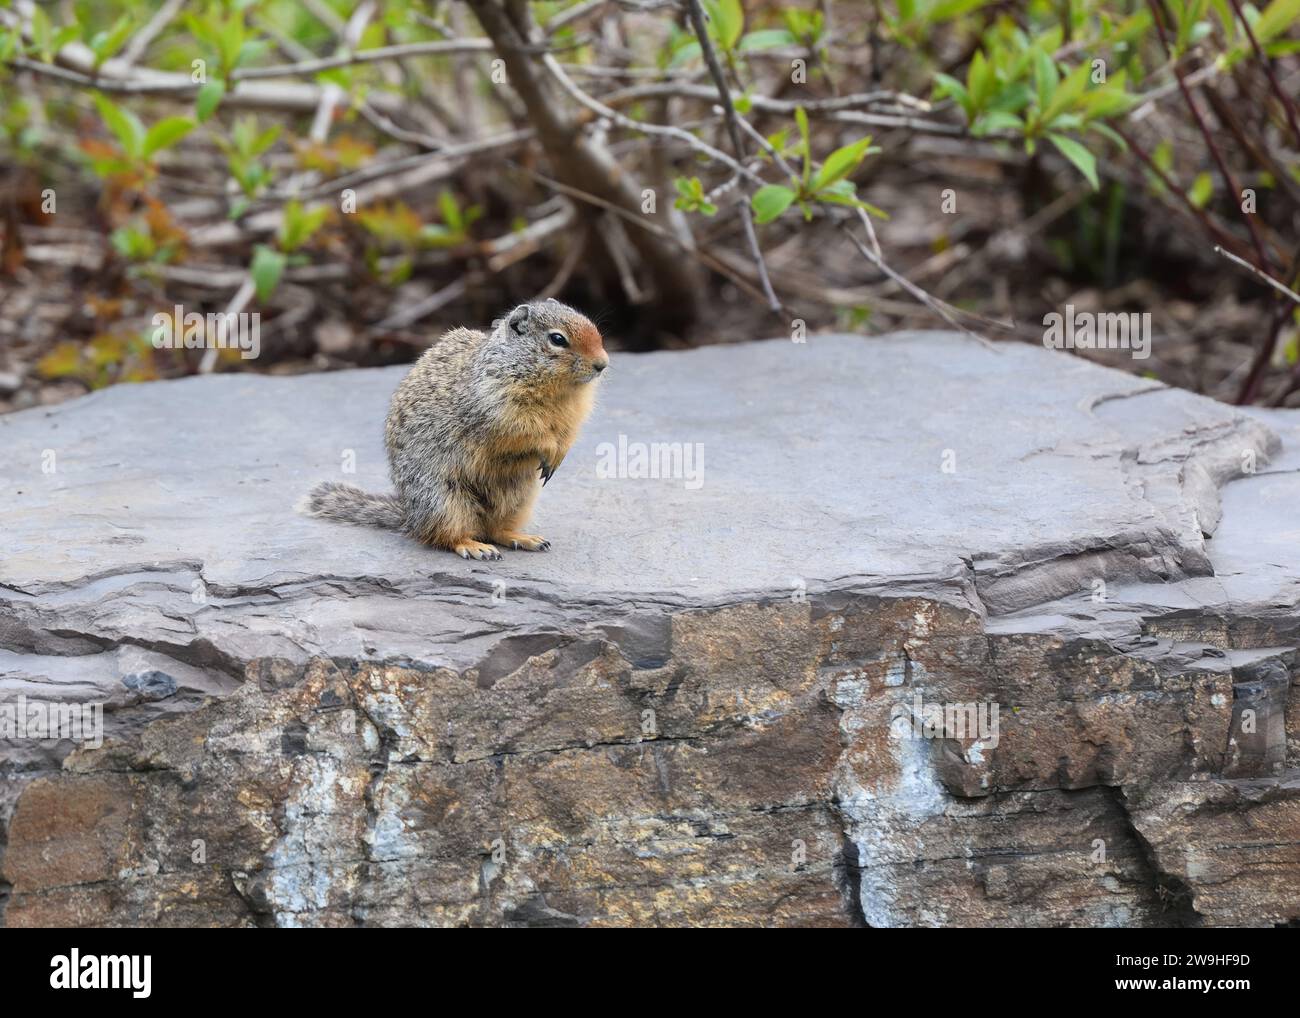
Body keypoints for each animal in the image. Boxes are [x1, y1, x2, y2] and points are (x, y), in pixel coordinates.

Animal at [301, 299, 608, 560]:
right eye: (557, 339)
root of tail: (409, 516)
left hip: (521, 496)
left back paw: (523, 538)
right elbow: (526, 431)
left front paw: (559, 455)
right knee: (446, 536)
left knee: (496, 530)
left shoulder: (573, 417)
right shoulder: (498, 409)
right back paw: (474, 547)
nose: (602, 364)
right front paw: (547, 447)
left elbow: (568, 436)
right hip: (444, 500)